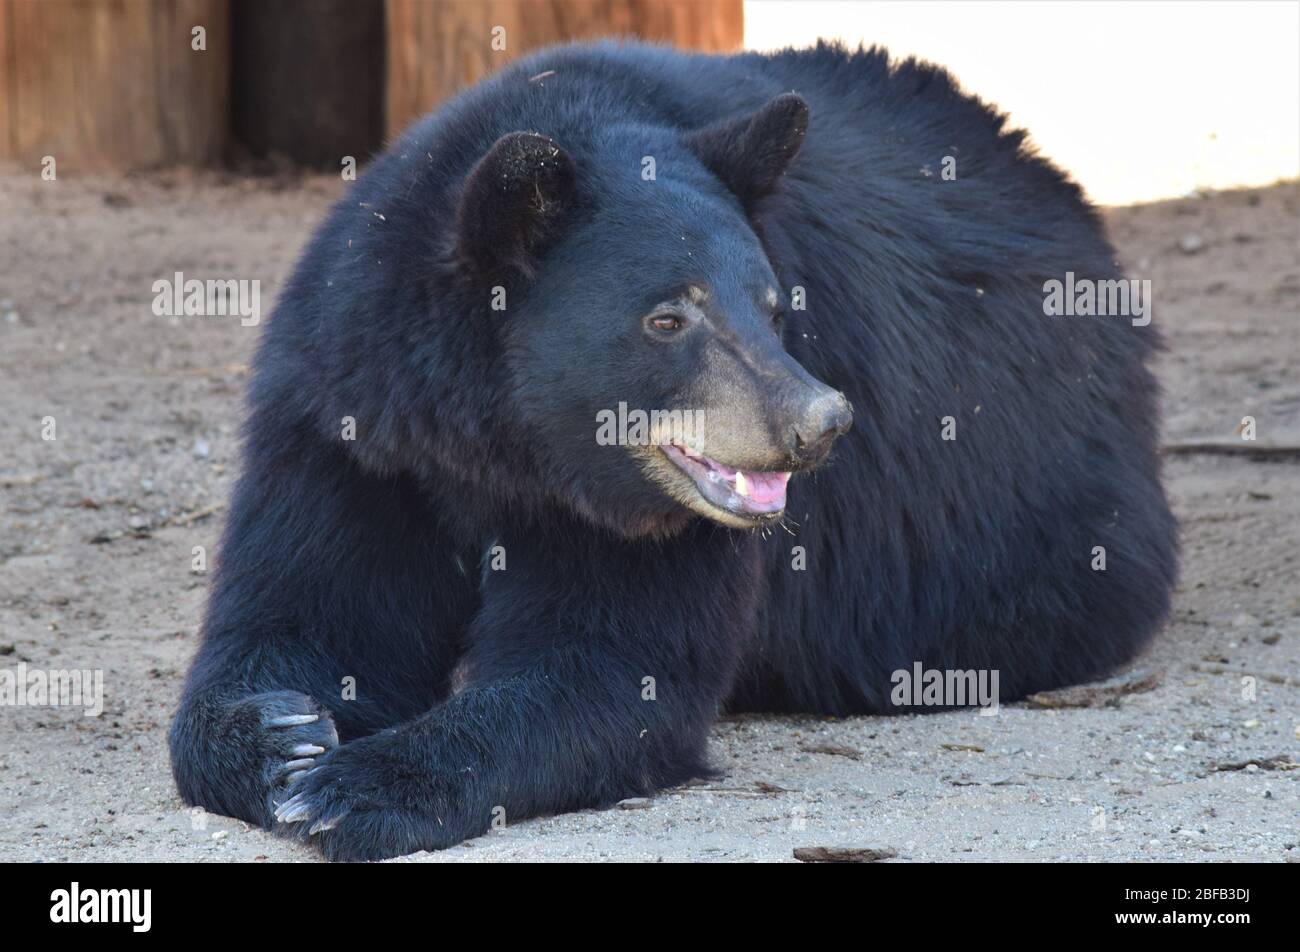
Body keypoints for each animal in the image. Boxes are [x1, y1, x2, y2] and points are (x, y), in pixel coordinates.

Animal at [170, 40, 1180, 858]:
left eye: (774, 308)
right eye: (667, 317)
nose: (819, 422)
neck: (499, 447)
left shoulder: (639, 515)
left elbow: (610, 666)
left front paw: (357, 785)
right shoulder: (357, 433)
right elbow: (310, 609)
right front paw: (281, 733)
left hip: (1049, 521)